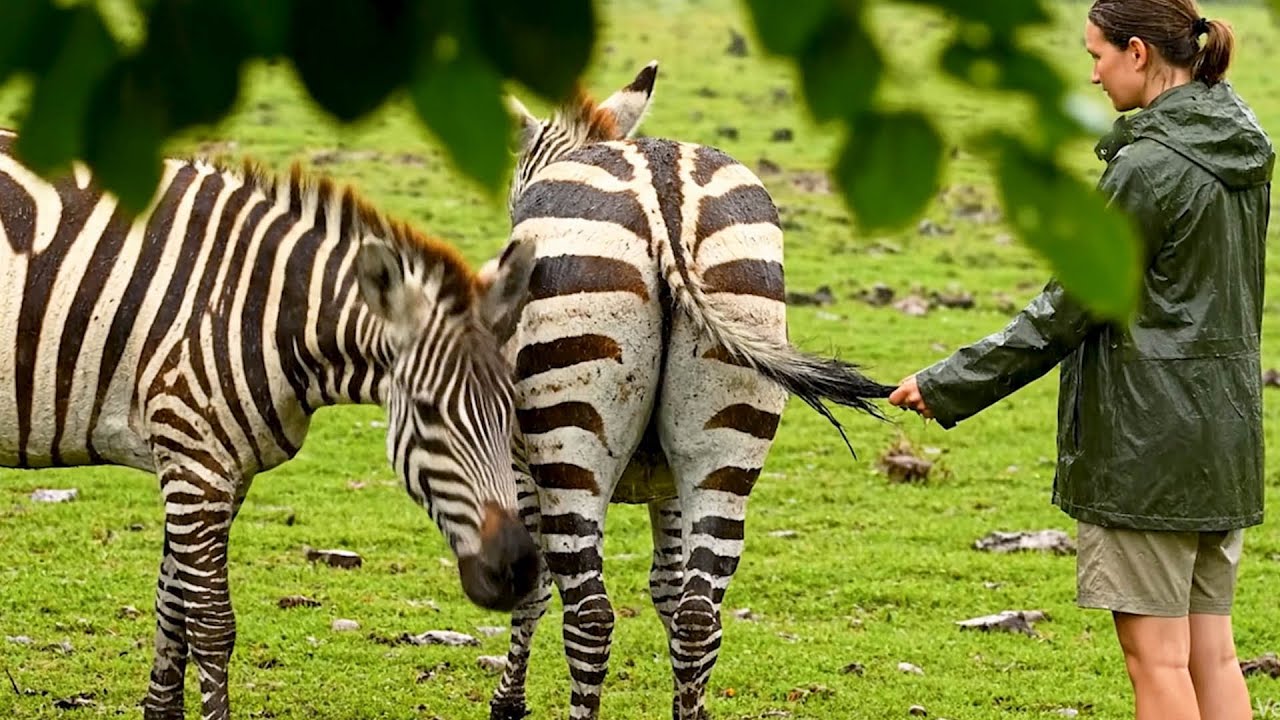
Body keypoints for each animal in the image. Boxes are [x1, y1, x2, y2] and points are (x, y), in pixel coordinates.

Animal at [0, 129, 541, 720]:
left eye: (513, 410)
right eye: (425, 411)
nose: (516, 570)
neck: (258, 309)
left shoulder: (215, 469)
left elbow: (172, 612)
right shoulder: (195, 462)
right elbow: (211, 626)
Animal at [481, 63, 894, 720]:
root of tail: (663, 196)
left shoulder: (519, 463)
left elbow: (535, 584)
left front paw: (508, 703)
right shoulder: (668, 481)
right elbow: (669, 592)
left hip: (570, 436)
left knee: (591, 615)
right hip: (726, 423)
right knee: (700, 616)